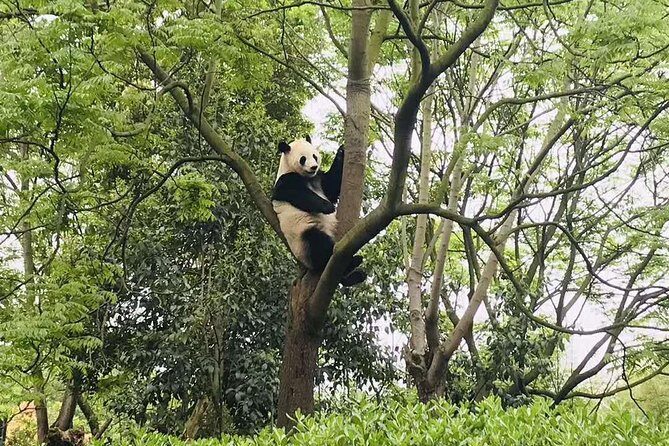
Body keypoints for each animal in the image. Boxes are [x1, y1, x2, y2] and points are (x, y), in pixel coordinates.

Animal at [272, 136, 366, 286]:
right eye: (303, 159)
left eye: (314, 156)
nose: (314, 167)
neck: (307, 177)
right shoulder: (286, 180)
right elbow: (294, 193)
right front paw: (328, 207)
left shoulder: (319, 179)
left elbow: (332, 186)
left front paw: (341, 151)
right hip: (302, 237)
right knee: (318, 245)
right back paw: (352, 262)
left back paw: (356, 275)